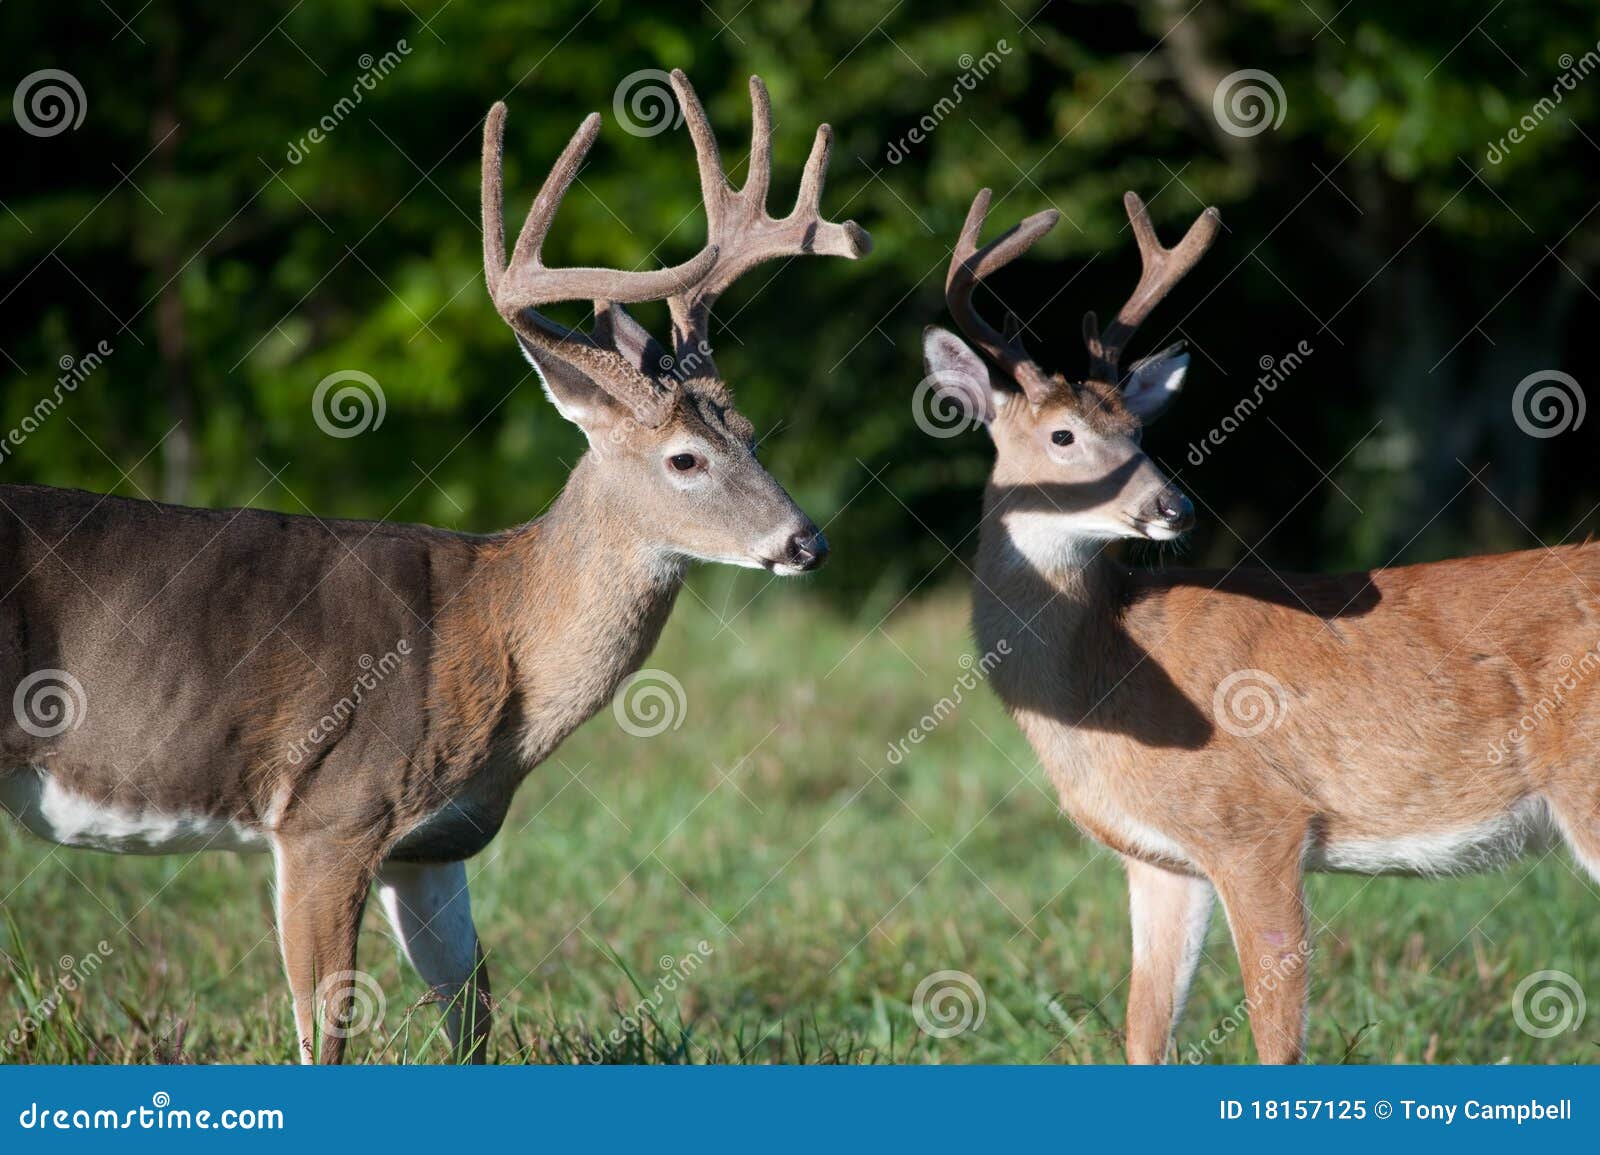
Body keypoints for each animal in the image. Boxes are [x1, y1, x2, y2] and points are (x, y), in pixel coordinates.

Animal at [0, 70, 869, 1063]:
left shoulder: (431, 846)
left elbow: (473, 1014)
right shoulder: (328, 811)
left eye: (753, 434)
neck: (493, 631)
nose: (807, 541)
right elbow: (325, 1028)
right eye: (684, 458)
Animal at [921, 187, 1600, 1064]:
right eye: (1063, 434)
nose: (1174, 506)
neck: (1105, 676)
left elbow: (1275, 1034)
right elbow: (1144, 1032)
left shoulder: (1256, 822)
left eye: (1139, 431)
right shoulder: (1162, 859)